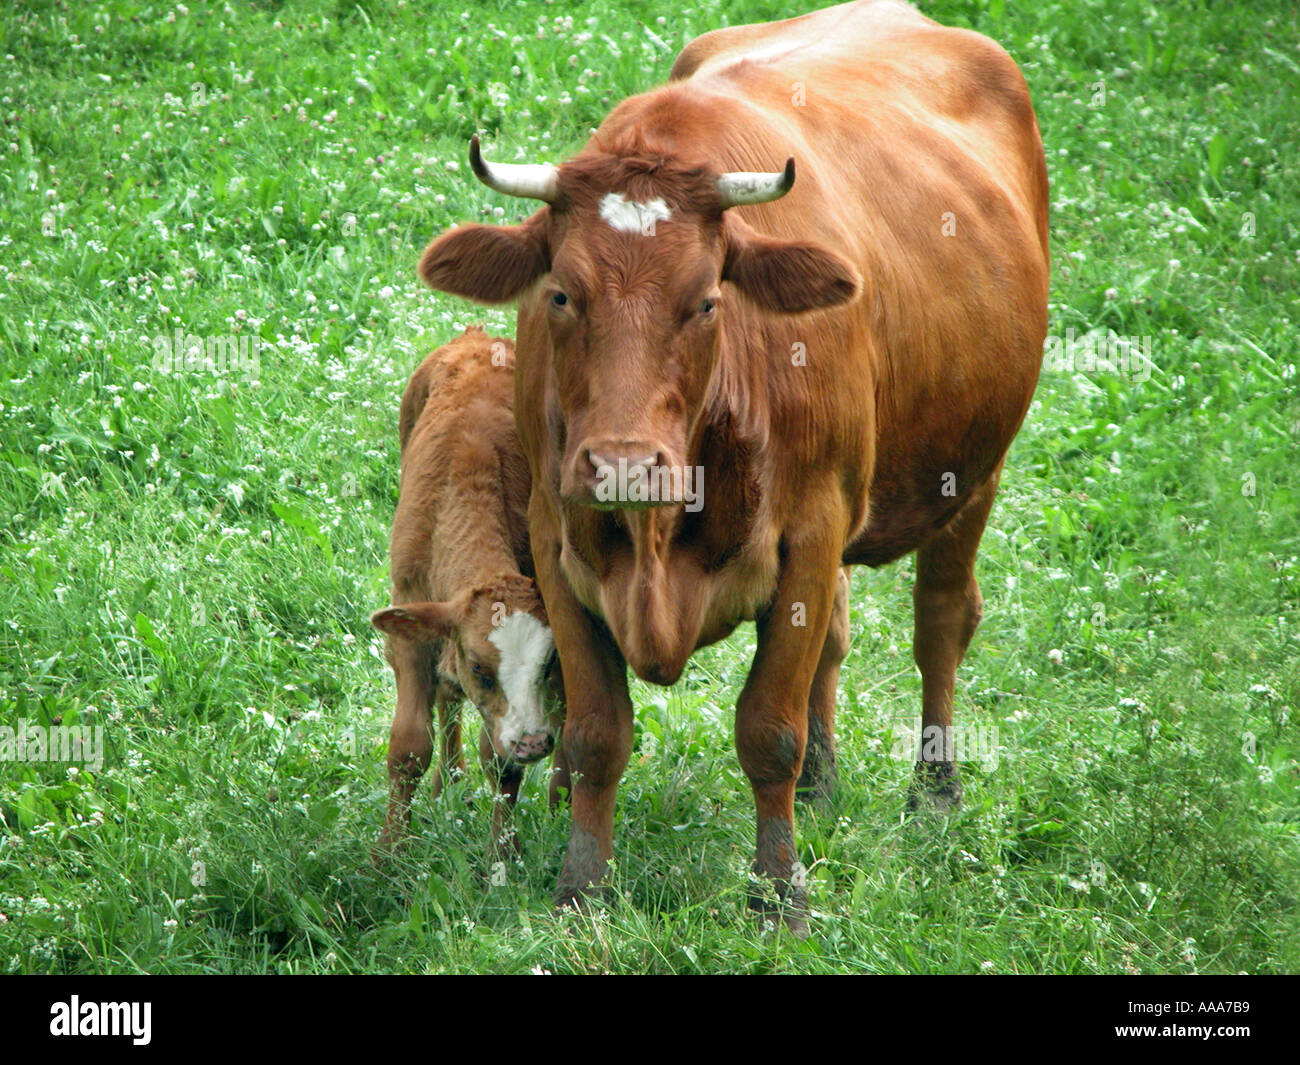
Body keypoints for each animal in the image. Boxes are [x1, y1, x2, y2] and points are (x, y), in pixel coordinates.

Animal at [371, 327, 567, 859]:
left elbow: (502, 761)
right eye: (480, 666)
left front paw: (504, 853)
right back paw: (449, 781)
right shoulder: (411, 622)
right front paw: (390, 850)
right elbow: (409, 747)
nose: (534, 744)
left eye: (549, 664)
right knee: (446, 698)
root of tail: (479, 337)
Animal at [415, 0, 1049, 933]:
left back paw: (934, 791)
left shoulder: (810, 533)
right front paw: (582, 887)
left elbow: (767, 728)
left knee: (940, 621)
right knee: (837, 641)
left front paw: (779, 891)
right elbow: (598, 730)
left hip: (974, 473)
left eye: (707, 300)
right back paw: (822, 787)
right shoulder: (557, 540)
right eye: (561, 293)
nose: (624, 465)